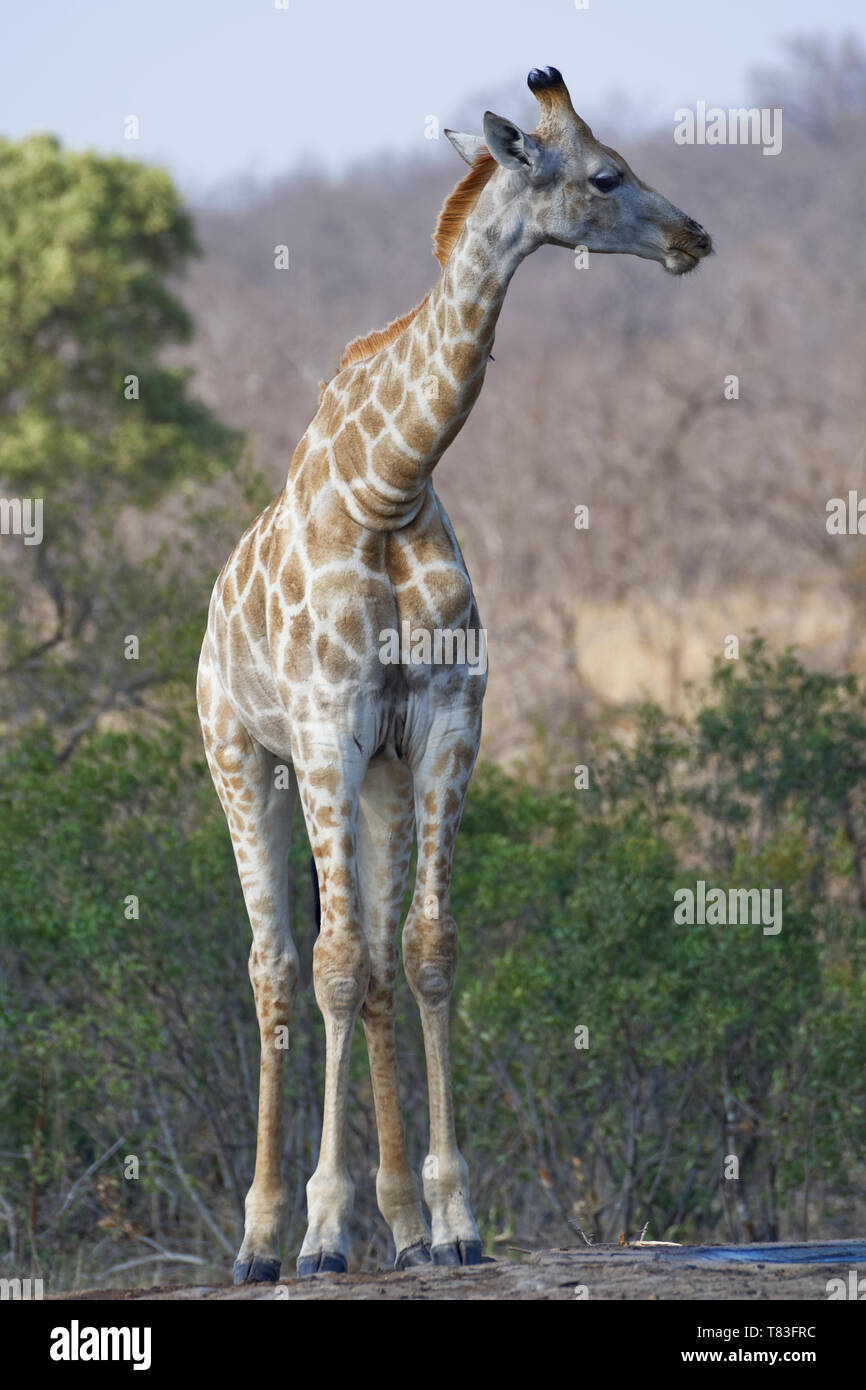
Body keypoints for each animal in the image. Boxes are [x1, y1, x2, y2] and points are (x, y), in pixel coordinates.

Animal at [196, 66, 712, 1283]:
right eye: (605, 175)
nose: (693, 237)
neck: (387, 484)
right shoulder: (324, 730)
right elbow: (331, 962)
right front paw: (322, 1232)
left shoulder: (440, 727)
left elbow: (424, 952)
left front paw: (451, 1218)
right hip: (243, 760)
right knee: (277, 964)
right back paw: (261, 1238)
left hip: (378, 777)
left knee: (378, 962)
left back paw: (395, 1224)